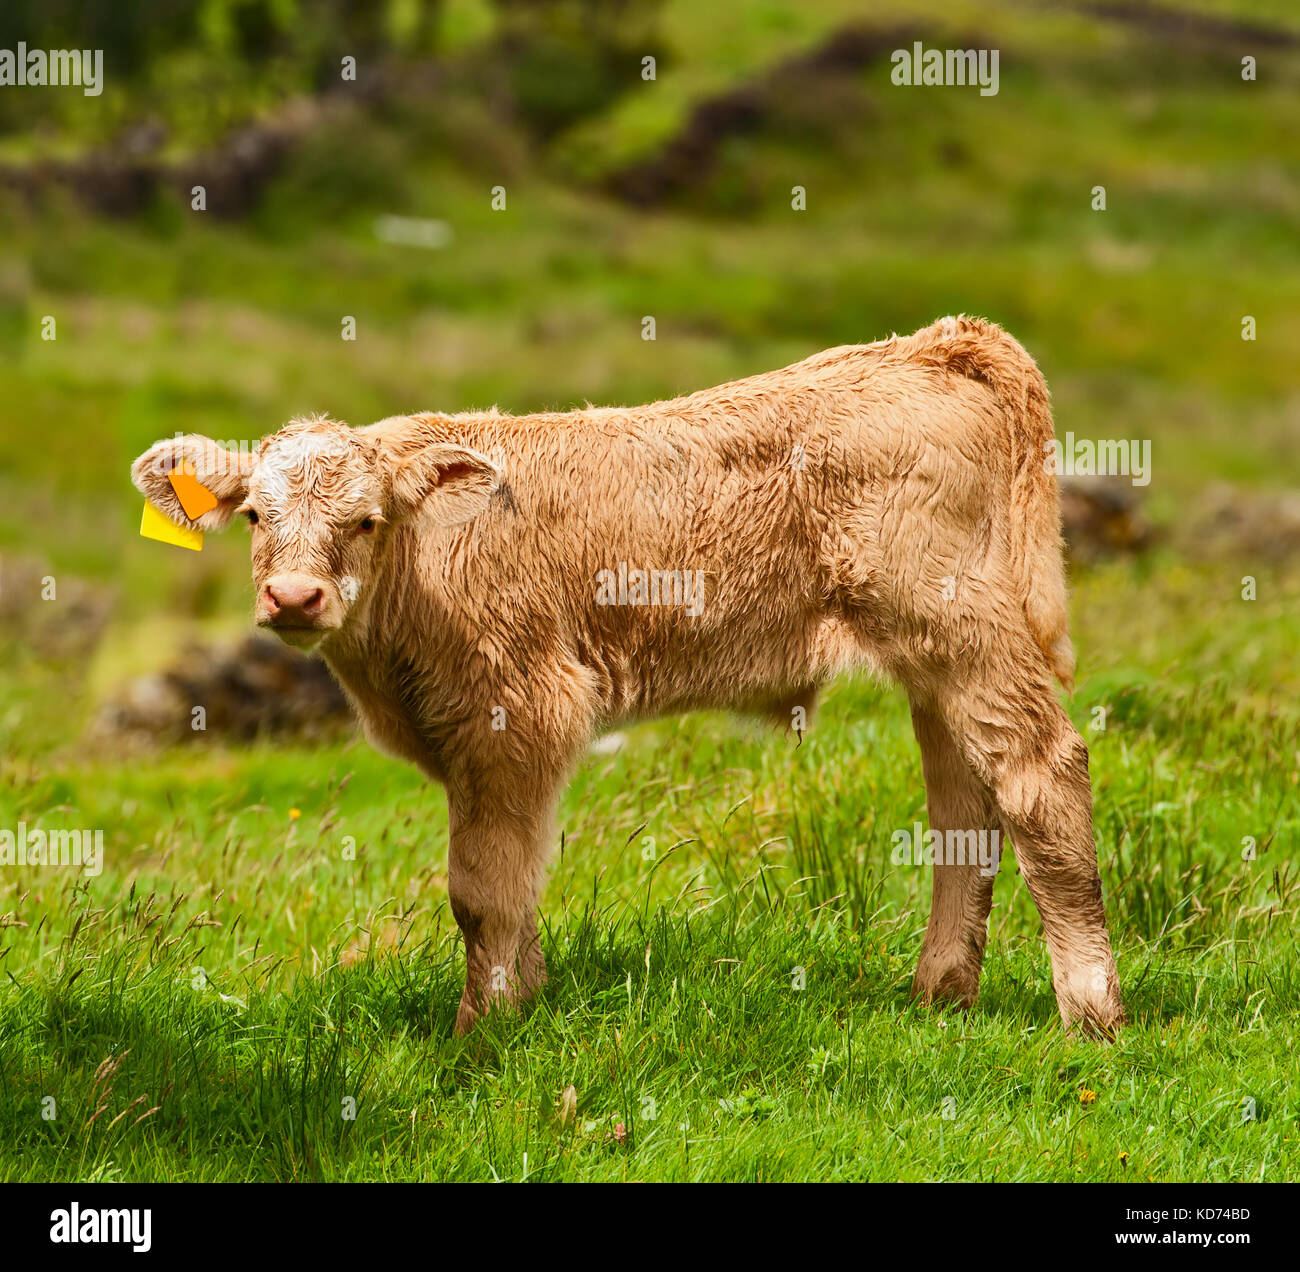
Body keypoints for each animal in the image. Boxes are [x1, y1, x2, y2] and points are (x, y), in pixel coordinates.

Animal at [131, 315, 1124, 1037]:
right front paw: (523, 1000)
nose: (294, 596)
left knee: (1039, 774)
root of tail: (930, 342)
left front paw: (481, 1034)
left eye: (366, 521)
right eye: (255, 514)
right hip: (933, 654)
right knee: (963, 798)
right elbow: (518, 876)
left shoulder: (520, 710)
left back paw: (1090, 1013)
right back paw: (940, 990)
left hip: (957, 626)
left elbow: (480, 890)